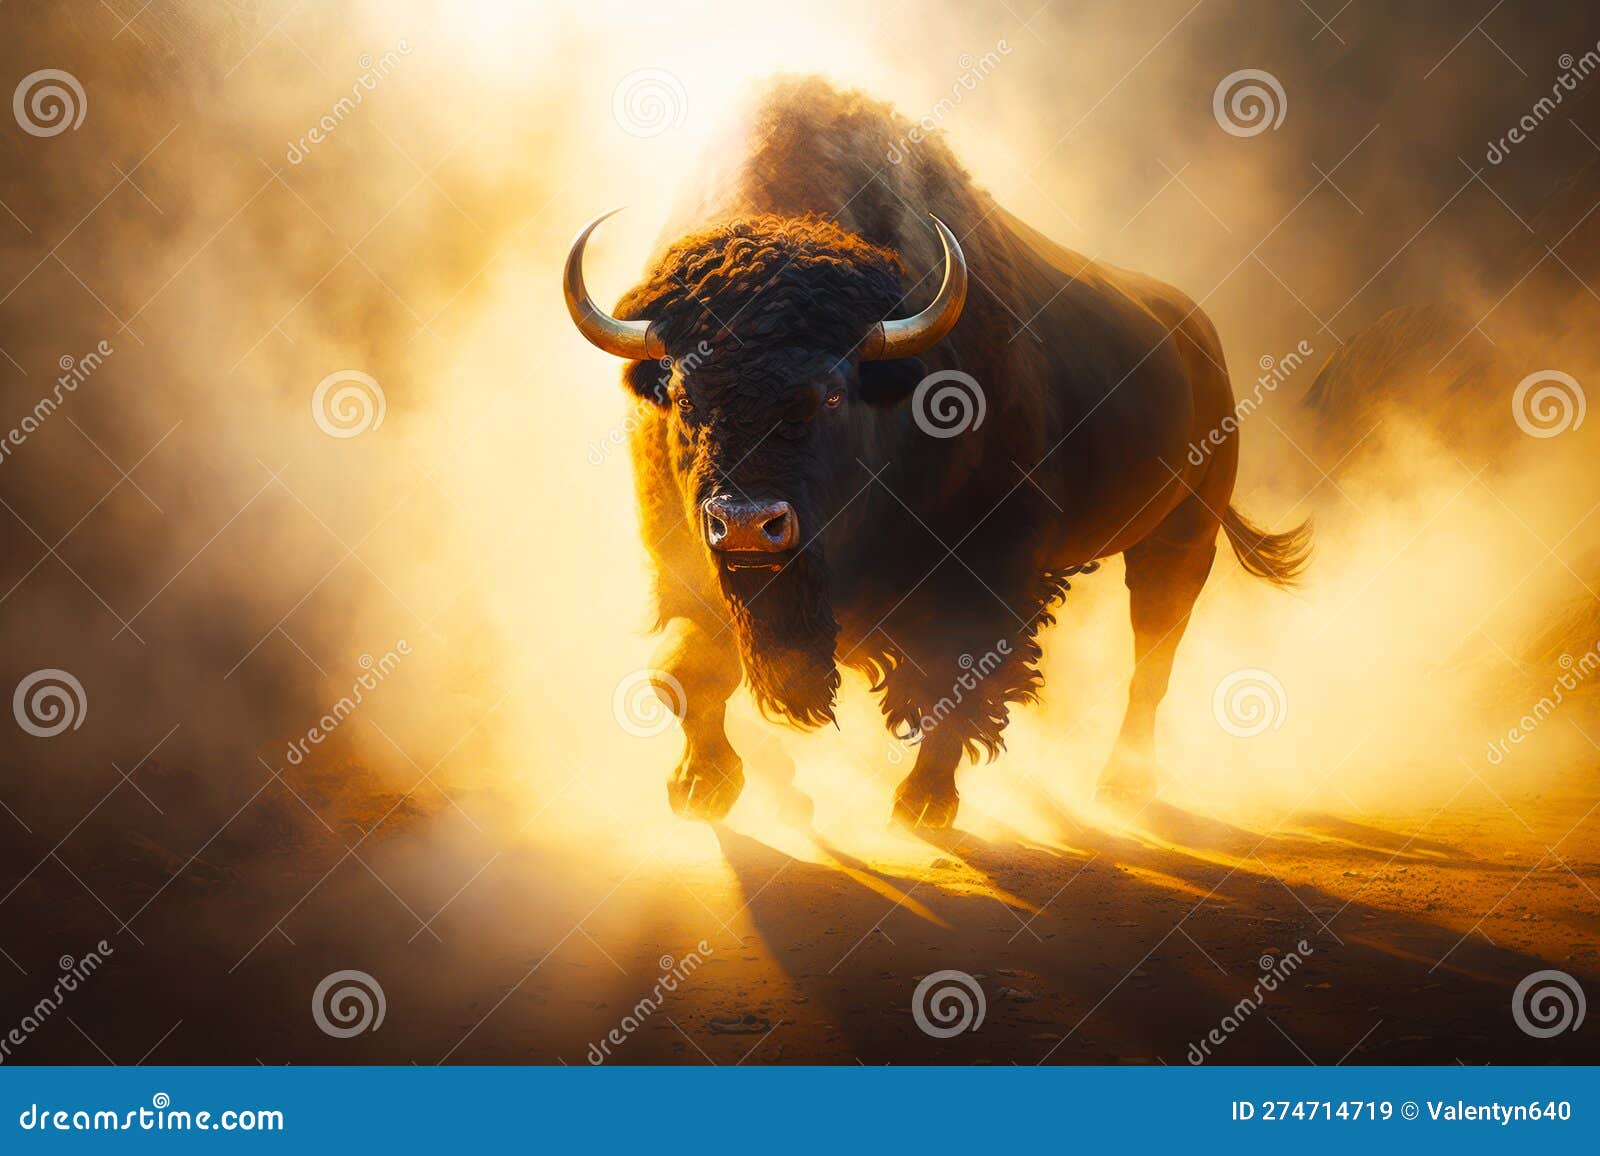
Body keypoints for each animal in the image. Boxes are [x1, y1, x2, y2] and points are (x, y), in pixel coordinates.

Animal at [565, 78, 1309, 827]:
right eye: (684, 395)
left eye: (833, 395)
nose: (749, 524)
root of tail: (1200, 341)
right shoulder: (688, 560)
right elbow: (688, 669)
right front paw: (702, 786)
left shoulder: (983, 569)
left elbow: (956, 681)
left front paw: (922, 803)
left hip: (1180, 541)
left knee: (1152, 657)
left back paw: (1120, 786)